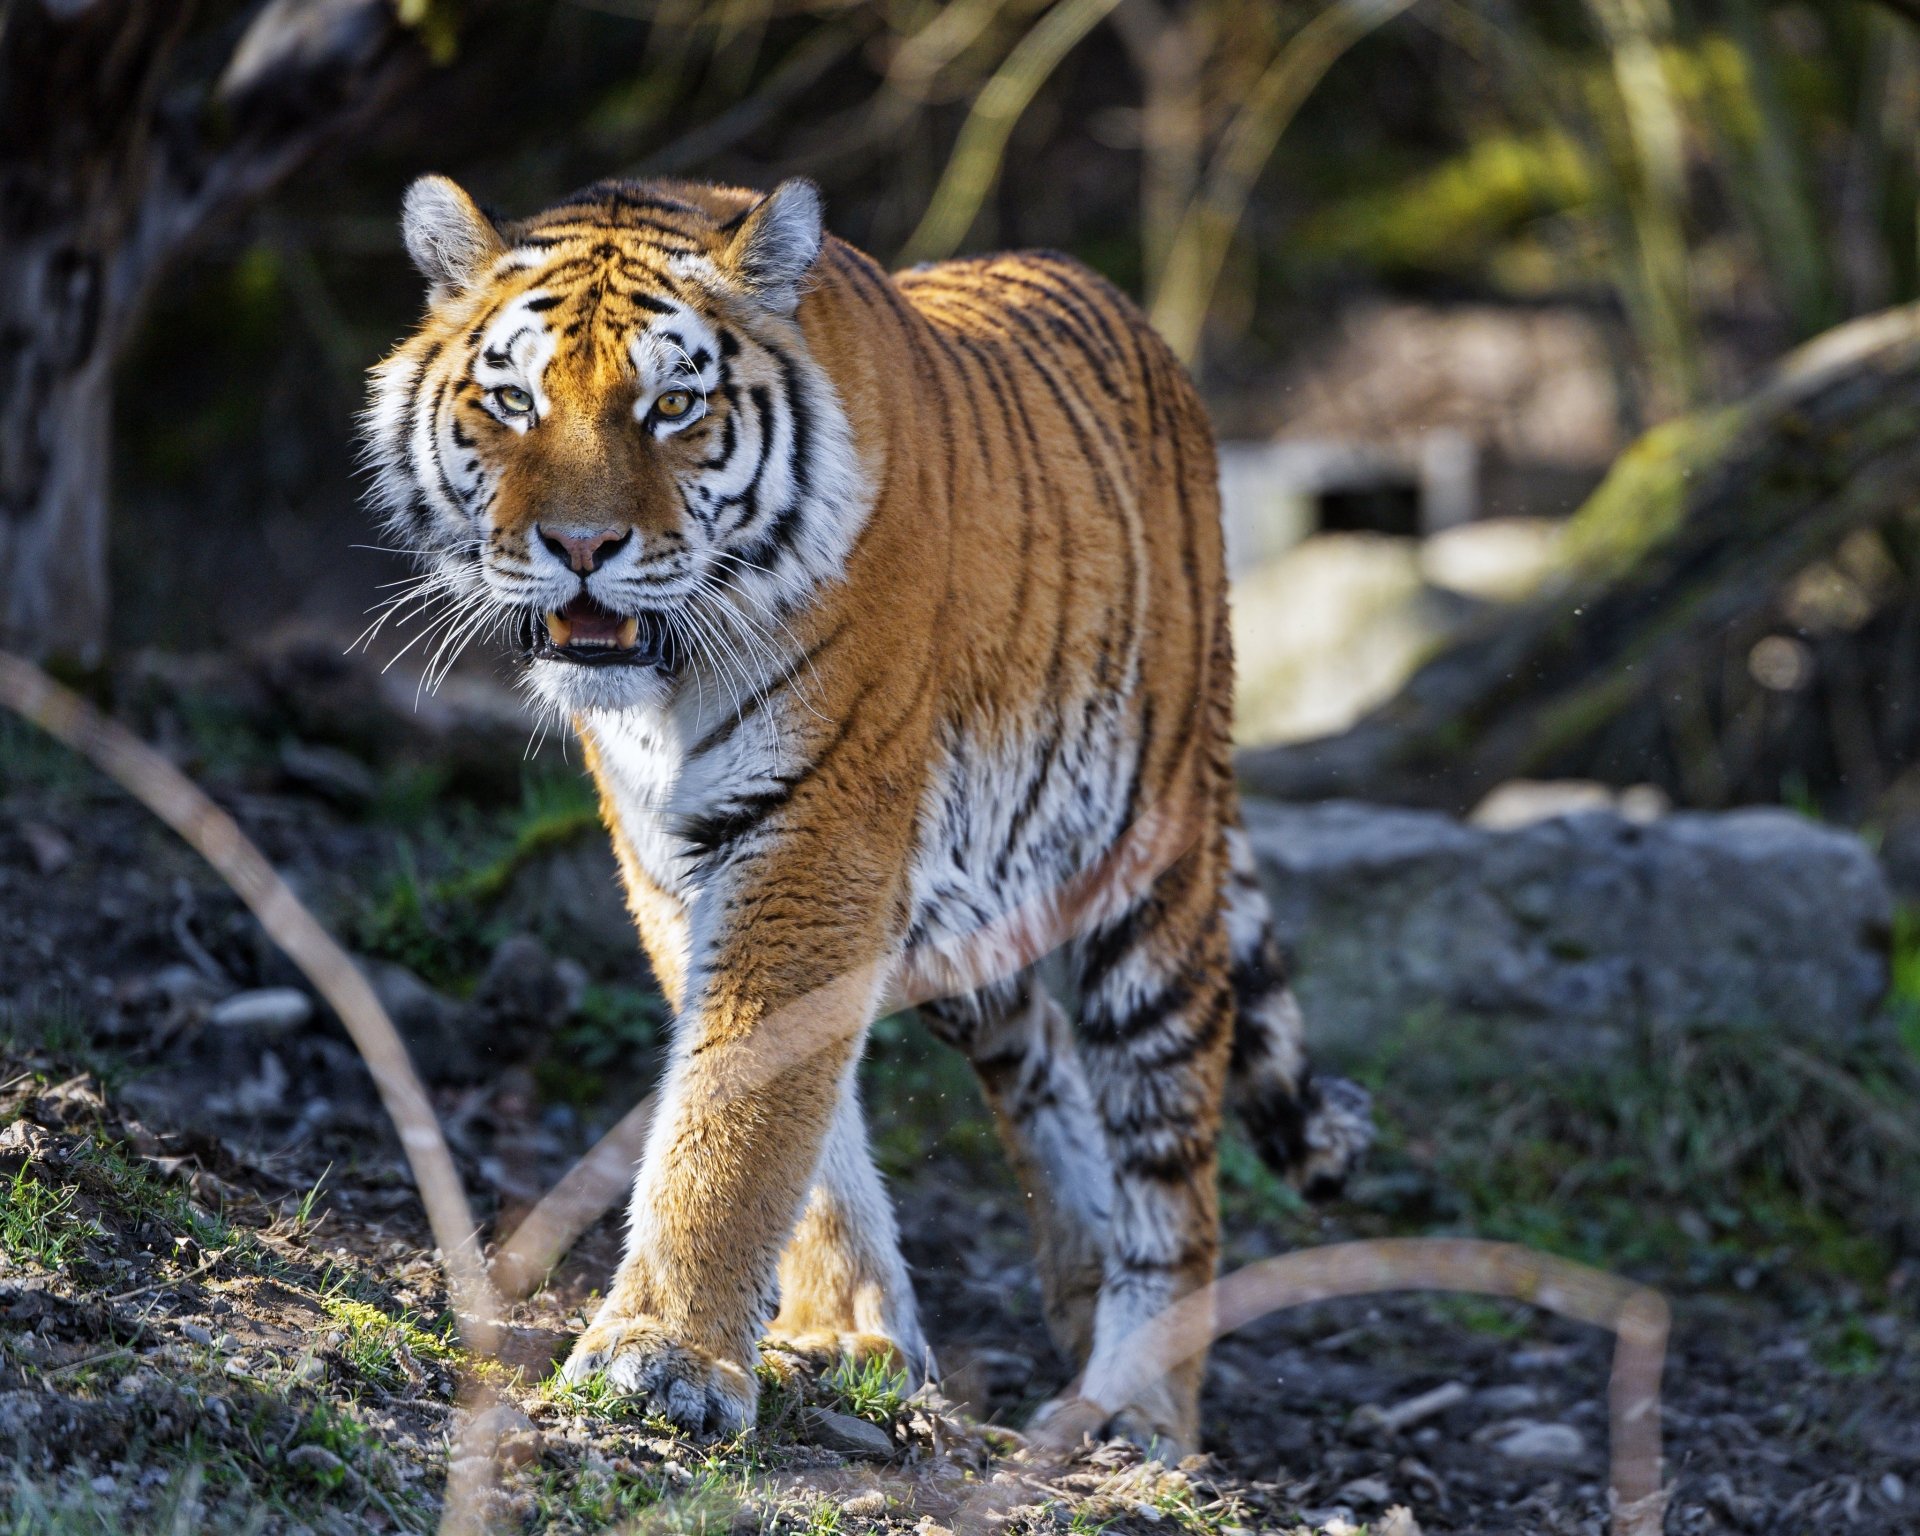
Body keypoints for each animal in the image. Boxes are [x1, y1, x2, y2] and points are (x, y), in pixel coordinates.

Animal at [363, 172, 1371, 1450]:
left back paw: (1136, 1404)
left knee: (1172, 1160)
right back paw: (1080, 1290)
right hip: (966, 909)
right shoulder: (673, 861)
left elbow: (742, 1107)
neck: (668, 687)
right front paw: (840, 1337)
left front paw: (663, 1358)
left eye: (673, 404)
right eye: (511, 400)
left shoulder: (817, 829)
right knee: (1038, 1051)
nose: (581, 548)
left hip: (1154, 872)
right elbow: (796, 1117)